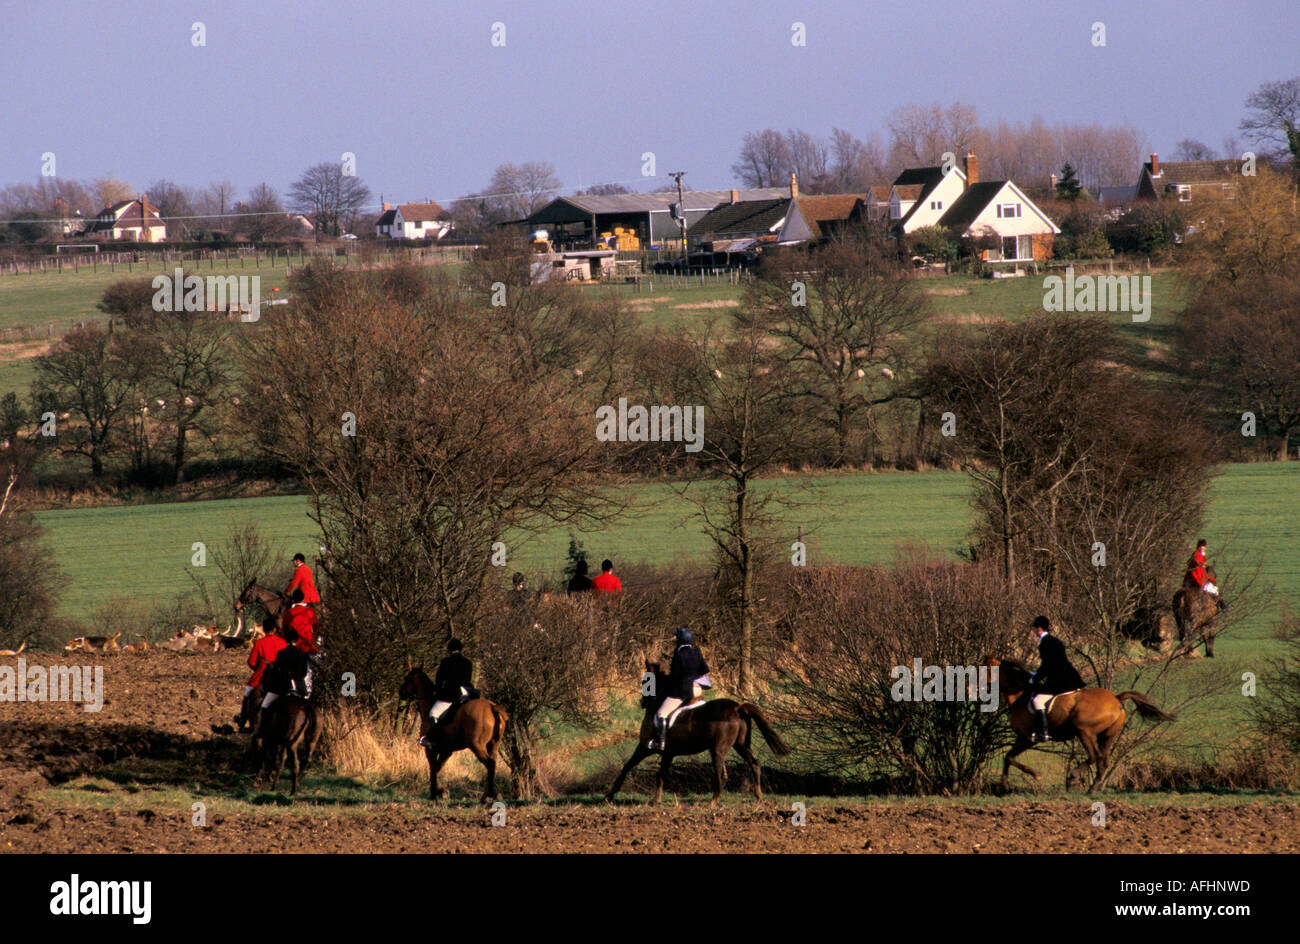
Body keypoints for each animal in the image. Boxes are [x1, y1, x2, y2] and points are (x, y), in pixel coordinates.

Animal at [398, 667, 508, 803]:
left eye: (408, 678)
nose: (401, 692)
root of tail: (492, 707)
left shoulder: (430, 750)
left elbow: (433, 768)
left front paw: (435, 792)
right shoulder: (446, 751)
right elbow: (438, 767)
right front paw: (442, 791)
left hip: (476, 745)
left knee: (490, 764)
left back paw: (489, 795)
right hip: (493, 745)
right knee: (492, 764)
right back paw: (489, 795)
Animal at [605, 658, 791, 804]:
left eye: (646, 681)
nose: (642, 702)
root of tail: (737, 707)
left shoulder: (651, 748)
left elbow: (636, 768)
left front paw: (612, 795)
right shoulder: (662, 751)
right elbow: (654, 772)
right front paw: (653, 799)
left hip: (718, 749)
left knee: (721, 775)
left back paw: (713, 802)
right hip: (740, 745)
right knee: (754, 763)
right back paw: (758, 797)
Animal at [987, 656, 1175, 792]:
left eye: (986, 671)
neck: (1020, 696)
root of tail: (1116, 699)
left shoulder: (1028, 738)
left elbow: (1009, 757)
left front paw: (1035, 775)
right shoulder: (1022, 738)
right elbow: (1008, 757)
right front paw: (1003, 786)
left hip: (1084, 731)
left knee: (1094, 756)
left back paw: (1073, 776)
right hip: (1107, 736)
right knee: (1103, 761)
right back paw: (1093, 789)